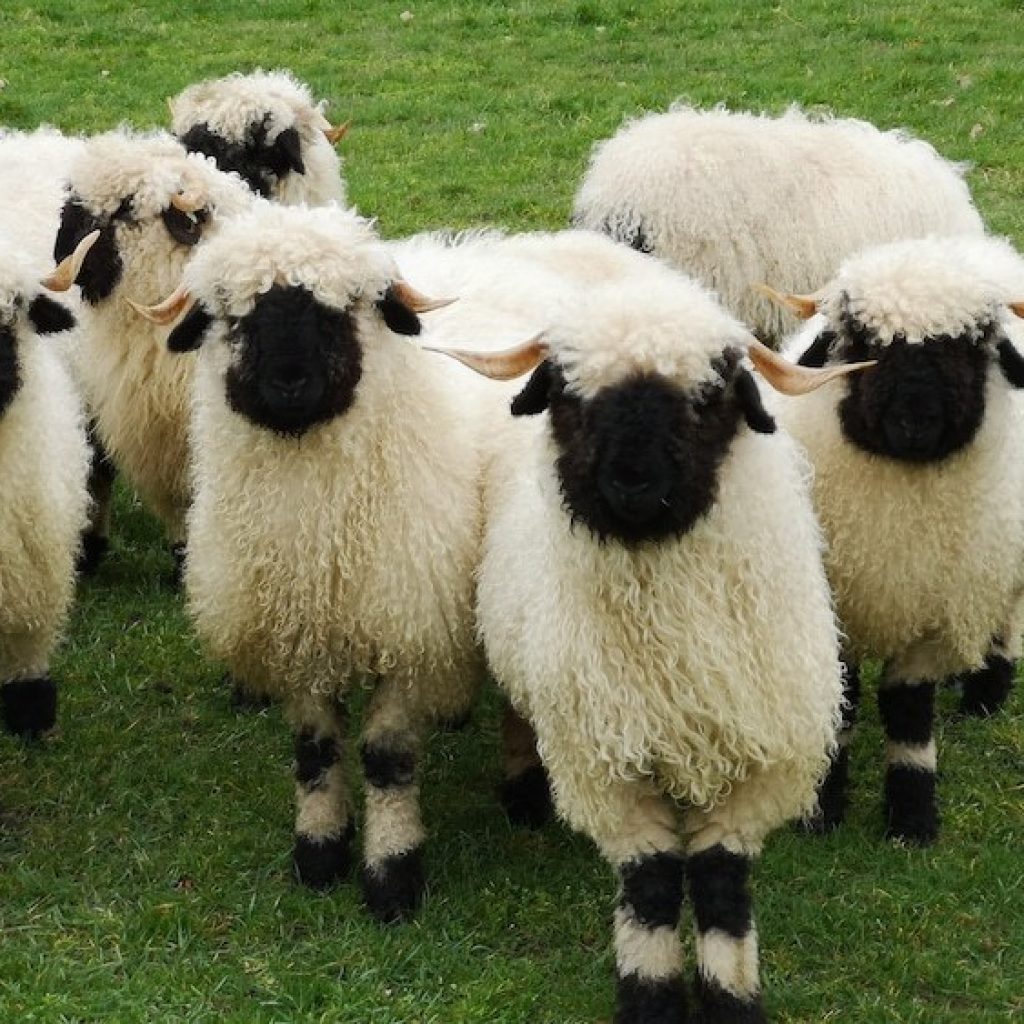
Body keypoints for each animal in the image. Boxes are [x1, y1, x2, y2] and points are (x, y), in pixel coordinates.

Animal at [139, 202, 485, 921]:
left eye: (344, 307)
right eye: (231, 314)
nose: (290, 381)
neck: (315, 534)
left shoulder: (403, 626)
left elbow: (385, 758)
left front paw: (391, 874)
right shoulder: (294, 634)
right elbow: (315, 751)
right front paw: (320, 849)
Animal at [427, 259, 859, 1023]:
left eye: (709, 396)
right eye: (568, 394)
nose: (632, 482)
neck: (669, 643)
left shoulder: (760, 764)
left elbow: (721, 888)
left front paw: (732, 1002)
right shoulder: (609, 767)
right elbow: (652, 889)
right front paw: (652, 999)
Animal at [763, 234, 1024, 844]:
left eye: (968, 347)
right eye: (865, 344)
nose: (914, 422)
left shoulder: (931, 610)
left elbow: (907, 712)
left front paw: (911, 817)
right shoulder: (835, 603)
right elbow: (843, 702)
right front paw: (822, 811)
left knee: (1003, 616)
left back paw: (986, 690)